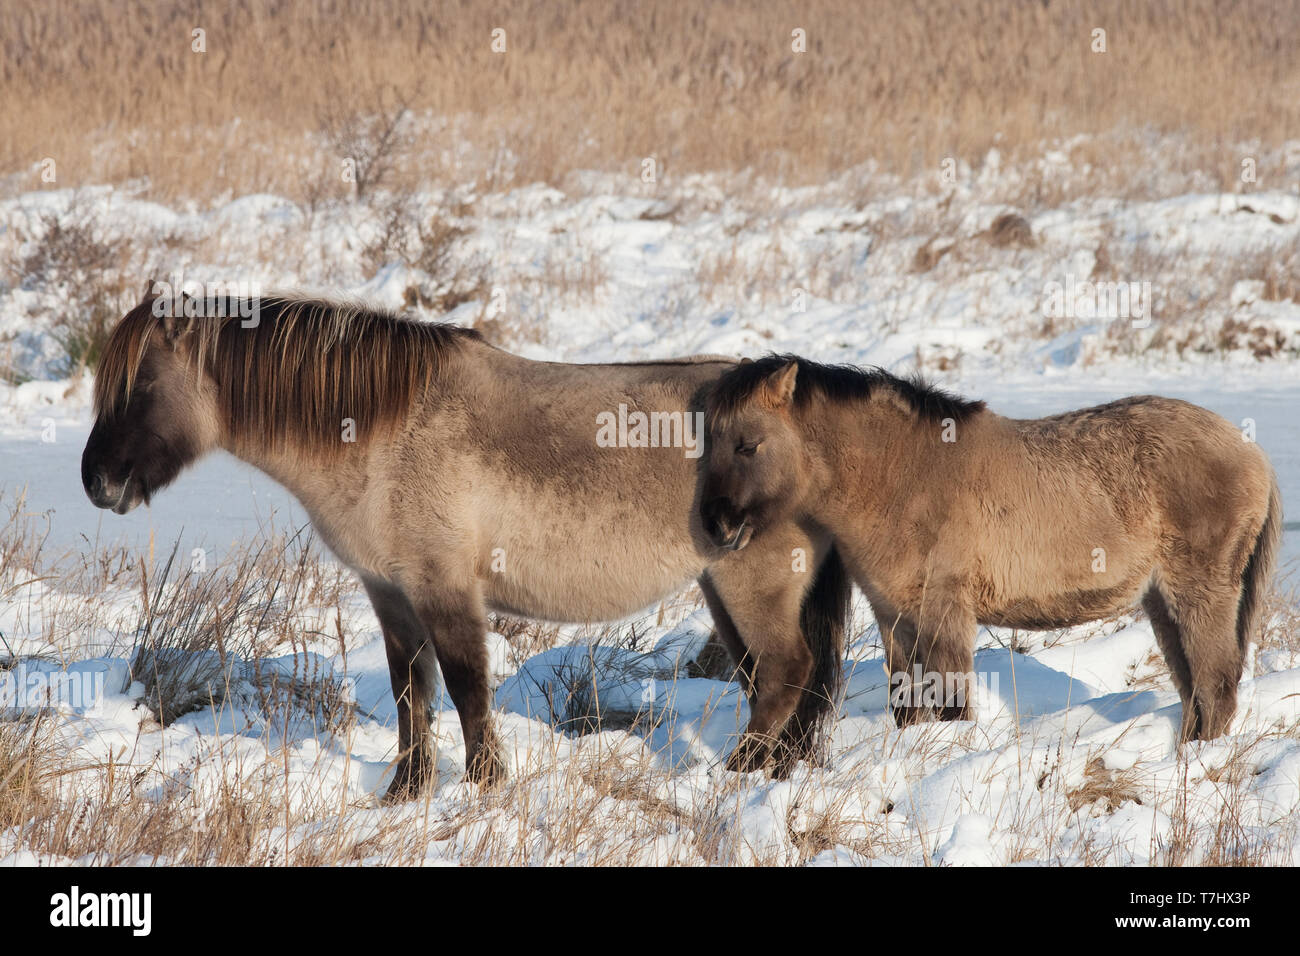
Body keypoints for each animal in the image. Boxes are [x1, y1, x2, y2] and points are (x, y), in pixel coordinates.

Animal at [81, 295, 851, 800]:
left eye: (143, 384)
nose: (95, 481)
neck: (384, 431)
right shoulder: (389, 590)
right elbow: (410, 692)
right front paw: (406, 791)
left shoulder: (444, 587)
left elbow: (465, 688)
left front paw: (485, 788)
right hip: (725, 593)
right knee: (772, 680)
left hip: (752, 589)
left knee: (785, 673)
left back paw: (737, 775)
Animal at [700, 355, 1282, 742]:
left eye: (748, 445)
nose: (715, 525)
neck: (903, 475)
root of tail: (1254, 455)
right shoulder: (893, 616)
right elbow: (906, 704)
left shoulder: (946, 613)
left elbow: (953, 703)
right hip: (1162, 601)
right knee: (1194, 690)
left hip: (1200, 594)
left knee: (1216, 685)